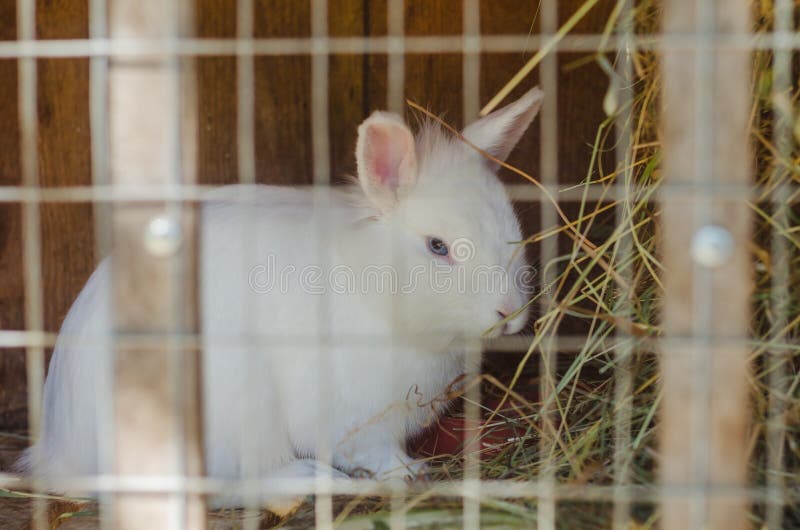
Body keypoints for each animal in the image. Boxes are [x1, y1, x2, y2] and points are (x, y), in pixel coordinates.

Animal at [17, 86, 544, 511]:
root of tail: (63, 452)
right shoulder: (356, 418)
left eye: (512, 231)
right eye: (437, 247)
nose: (510, 312)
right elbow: (376, 453)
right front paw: (409, 473)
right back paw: (307, 477)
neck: (372, 286)